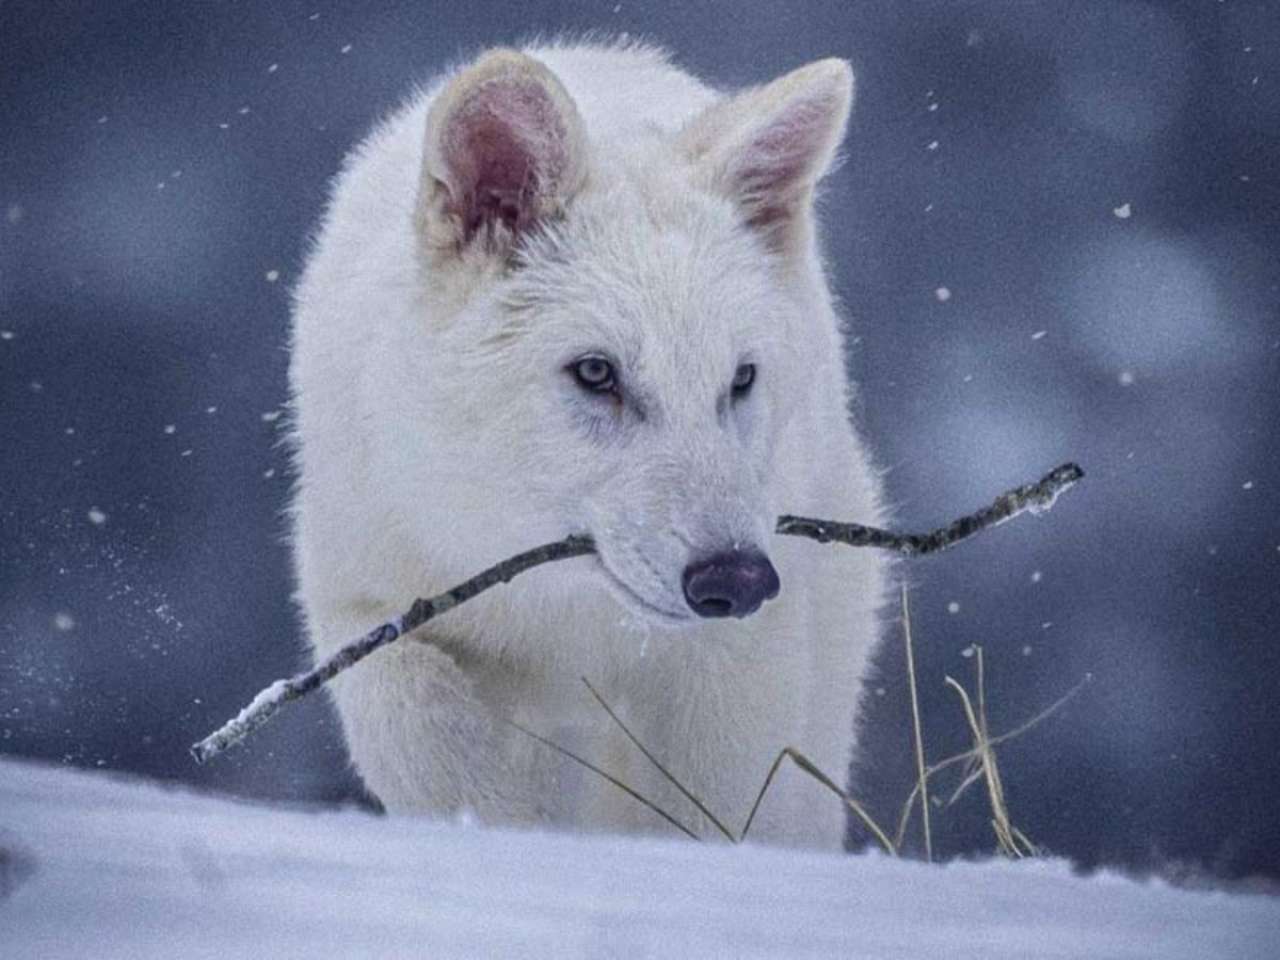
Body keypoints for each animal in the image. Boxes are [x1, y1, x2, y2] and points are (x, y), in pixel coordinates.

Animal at [289, 40, 888, 849]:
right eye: (597, 372)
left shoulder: (734, 662)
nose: (737, 579)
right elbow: (428, 739)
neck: (565, 610)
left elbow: (706, 813)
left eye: (739, 379)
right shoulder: (366, 604)